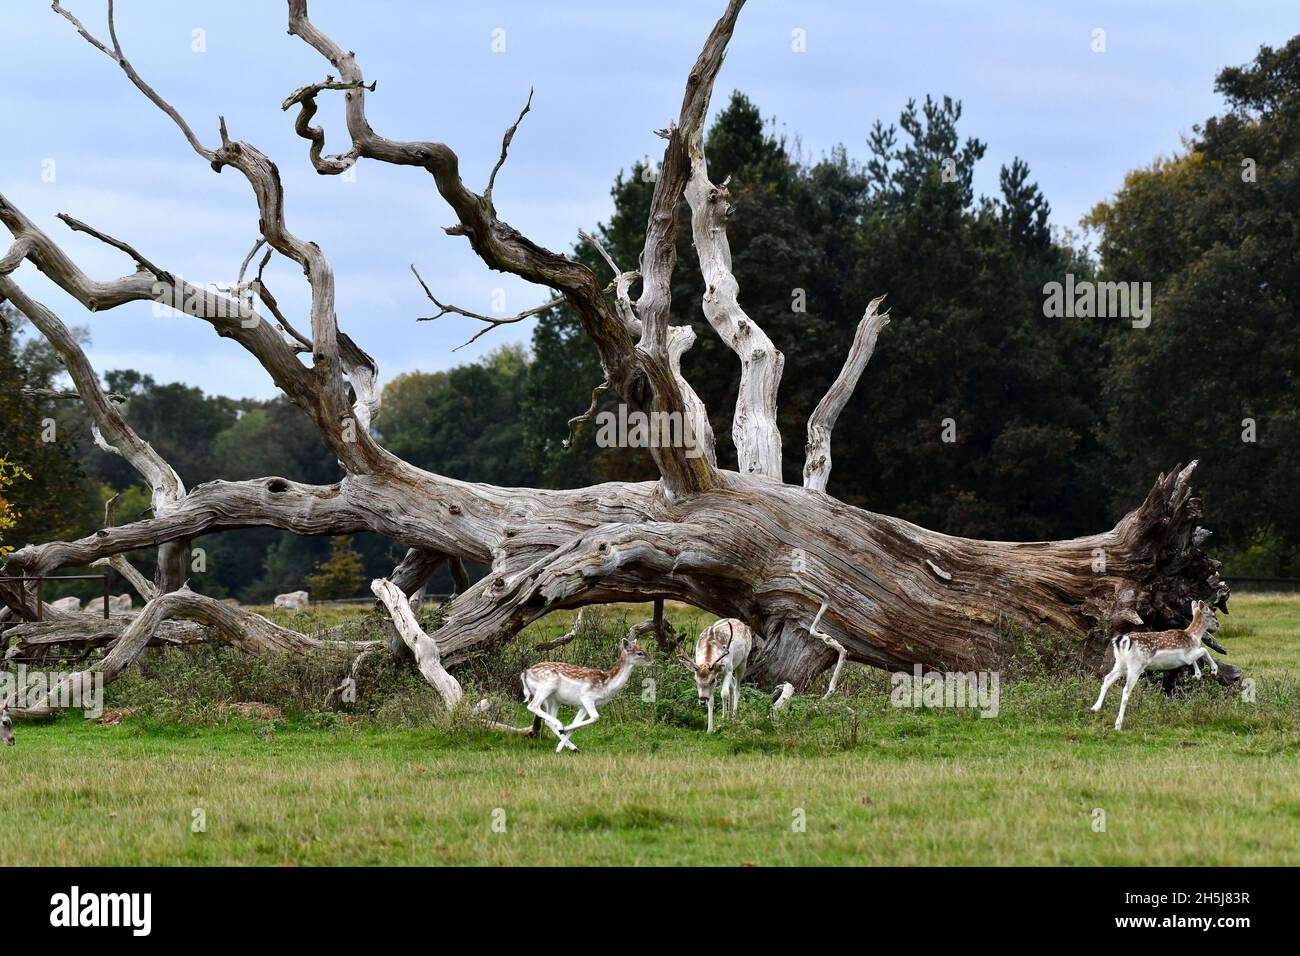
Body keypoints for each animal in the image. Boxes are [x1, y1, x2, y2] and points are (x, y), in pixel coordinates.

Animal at [521, 636, 654, 753]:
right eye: (640, 653)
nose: (653, 661)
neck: (606, 685)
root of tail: (525, 673)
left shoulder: (582, 705)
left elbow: (576, 724)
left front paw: (560, 746)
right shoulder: (587, 697)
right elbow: (595, 717)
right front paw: (564, 729)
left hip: (553, 700)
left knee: (548, 719)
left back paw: (572, 746)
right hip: (546, 687)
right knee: (533, 706)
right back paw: (560, 726)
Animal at [1092, 599, 1220, 730]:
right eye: (1213, 615)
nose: (1218, 624)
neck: (1194, 636)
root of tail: (1122, 641)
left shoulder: (1189, 657)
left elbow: (1197, 658)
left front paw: (1197, 675)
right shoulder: (1188, 654)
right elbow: (1204, 650)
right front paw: (1214, 670)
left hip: (1120, 663)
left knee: (1107, 678)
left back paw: (1095, 708)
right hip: (1135, 666)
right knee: (1126, 690)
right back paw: (1118, 725)